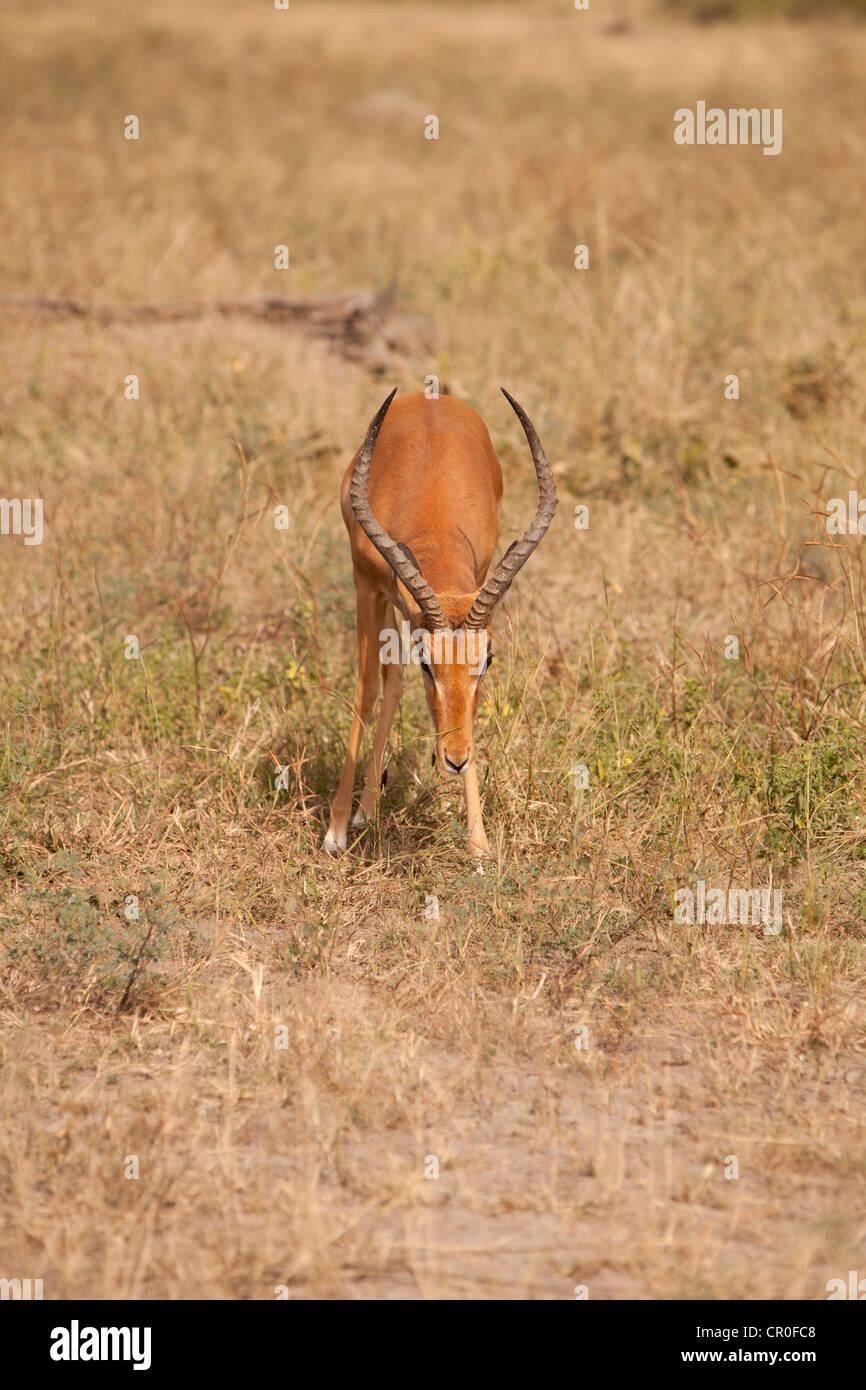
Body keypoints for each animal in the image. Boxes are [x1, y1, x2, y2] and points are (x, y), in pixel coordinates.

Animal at [324, 388, 557, 858]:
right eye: (427, 664)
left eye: (486, 662)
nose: (456, 757)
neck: (435, 522)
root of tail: (427, 395)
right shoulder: (365, 585)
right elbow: (367, 687)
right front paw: (336, 830)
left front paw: (479, 842)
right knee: (389, 679)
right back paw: (363, 811)